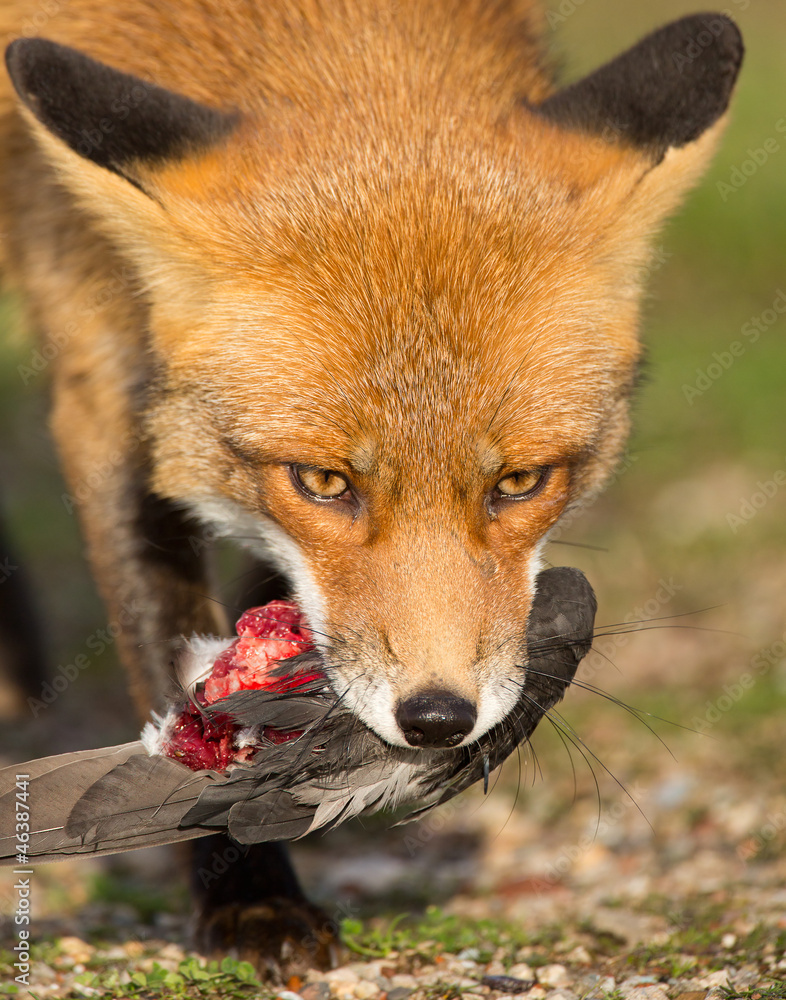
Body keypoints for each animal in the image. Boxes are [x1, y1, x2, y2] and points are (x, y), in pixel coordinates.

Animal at [0, 0, 742, 971]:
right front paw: (248, 891)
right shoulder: (102, 367)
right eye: (323, 481)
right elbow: (168, 651)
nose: (436, 721)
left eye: (520, 481)